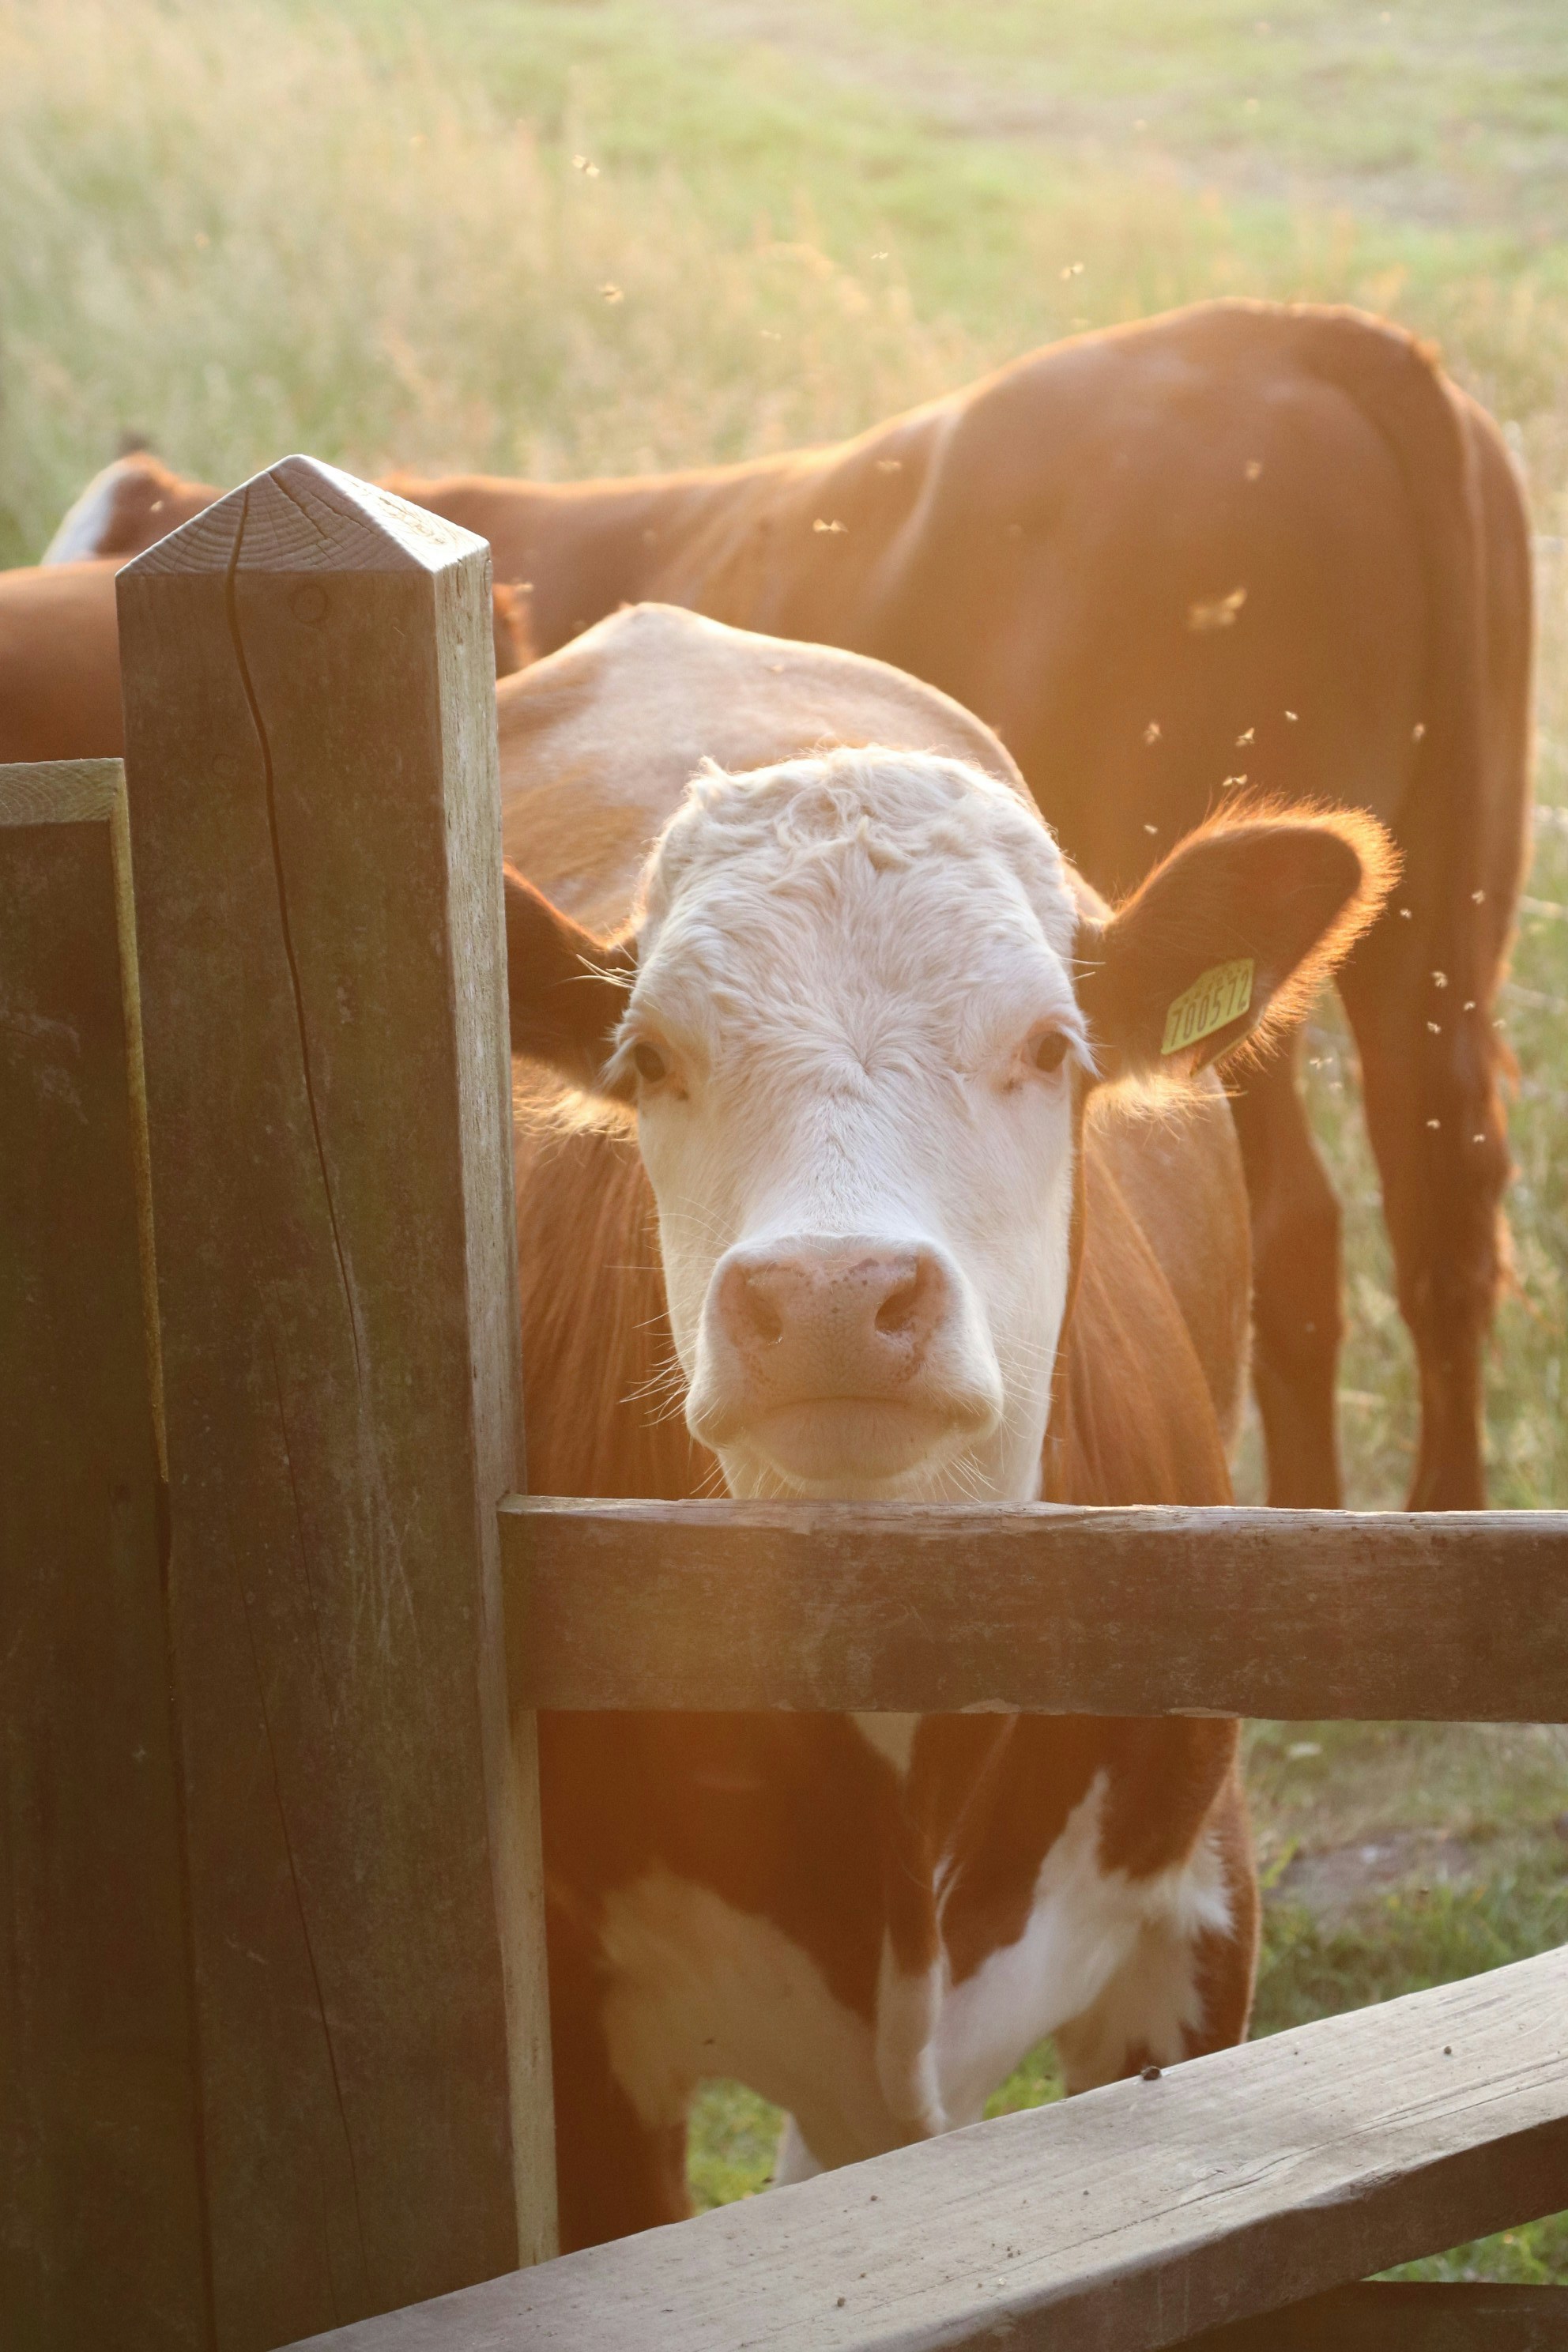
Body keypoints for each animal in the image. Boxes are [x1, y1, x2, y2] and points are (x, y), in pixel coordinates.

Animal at [35, 298, 1532, 1511]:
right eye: (650, 1058)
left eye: (1049, 1048)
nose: (828, 1302)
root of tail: (1313, 334)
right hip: (1442, 926)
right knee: (1438, 1209)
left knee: (1313, 1228)